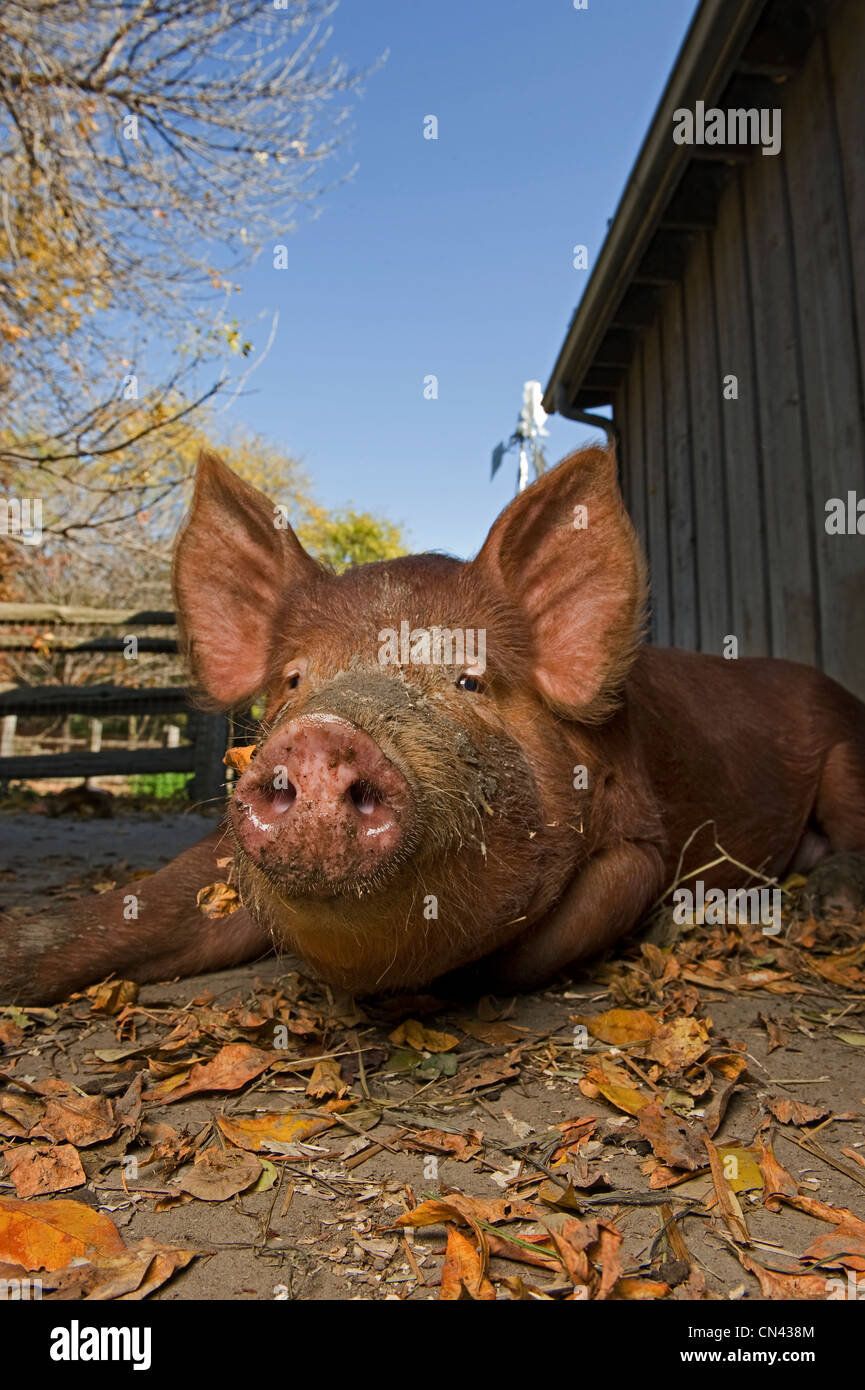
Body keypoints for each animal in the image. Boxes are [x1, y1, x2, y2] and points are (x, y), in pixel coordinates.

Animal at [2, 444, 864, 1004]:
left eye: (470, 680)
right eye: (292, 681)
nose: (321, 734)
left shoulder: (644, 841)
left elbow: (534, 948)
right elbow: (139, 909)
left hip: (846, 753)